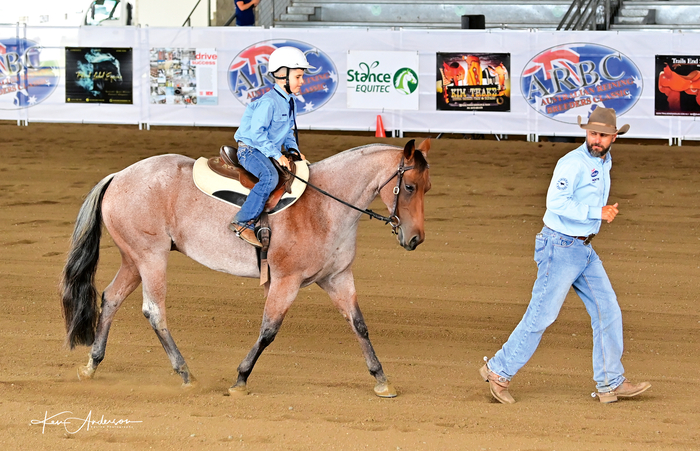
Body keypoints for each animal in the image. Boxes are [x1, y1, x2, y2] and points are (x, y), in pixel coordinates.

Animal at [60, 138, 431, 398]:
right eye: (409, 186)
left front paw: (381, 379)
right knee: (154, 310)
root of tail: (119, 176)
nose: (415, 239)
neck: (323, 205)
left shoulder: (336, 277)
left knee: (110, 298)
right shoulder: (286, 280)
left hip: (133, 259)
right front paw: (240, 379)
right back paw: (185, 373)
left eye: (427, 188)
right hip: (151, 258)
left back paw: (92, 364)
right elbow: (269, 330)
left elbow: (359, 325)